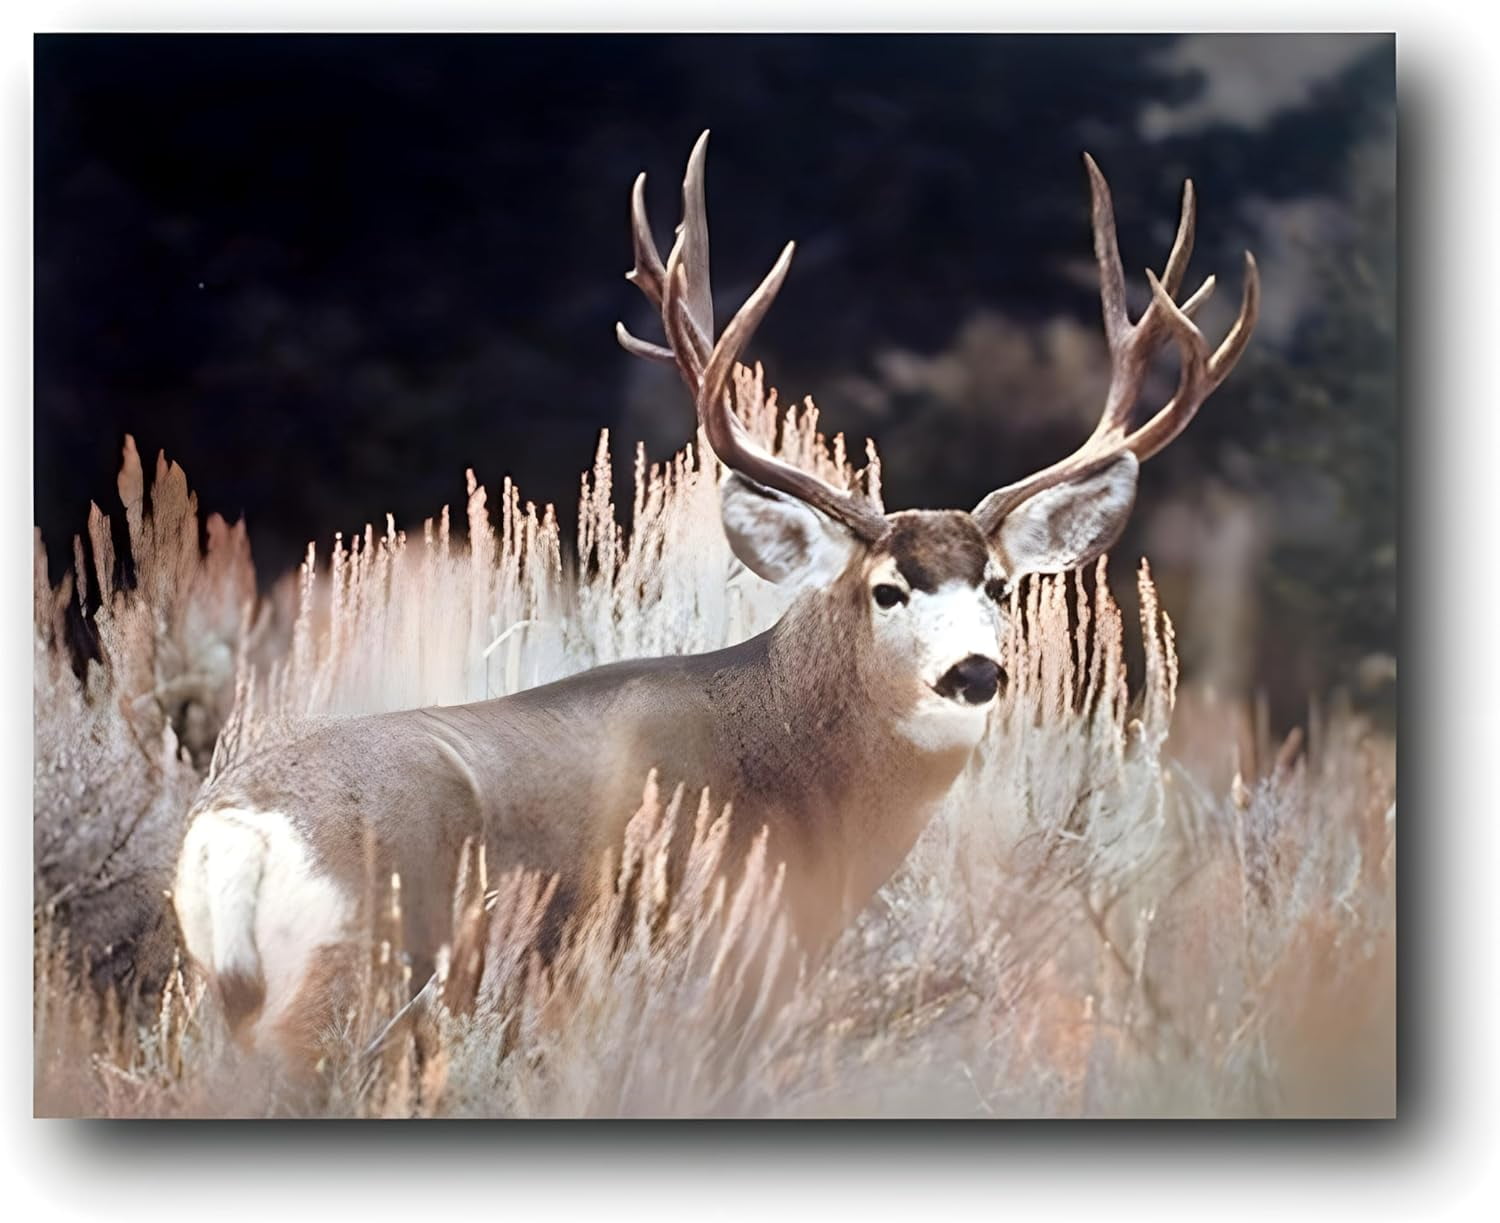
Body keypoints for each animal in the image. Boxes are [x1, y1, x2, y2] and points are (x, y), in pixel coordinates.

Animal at [172, 132, 1257, 1067]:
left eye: (997, 584)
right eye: (888, 588)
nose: (974, 671)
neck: (798, 771)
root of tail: (231, 830)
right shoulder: (733, 963)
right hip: (350, 977)